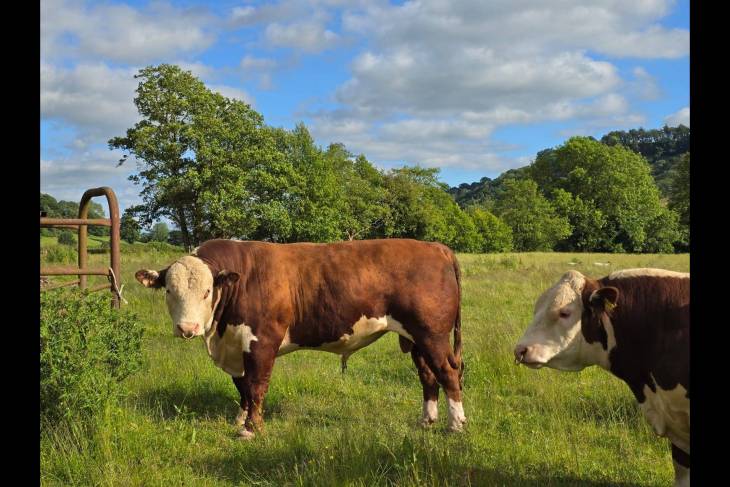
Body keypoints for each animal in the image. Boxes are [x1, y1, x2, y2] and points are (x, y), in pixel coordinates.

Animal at [135, 238, 466, 439]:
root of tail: (436, 247)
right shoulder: (236, 347)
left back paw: (456, 424)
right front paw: (240, 420)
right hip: (417, 338)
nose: (187, 327)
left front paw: (252, 429)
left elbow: (256, 387)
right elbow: (242, 388)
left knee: (448, 373)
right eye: (169, 290)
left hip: (432, 333)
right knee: (427, 375)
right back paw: (427, 420)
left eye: (206, 291)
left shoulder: (261, 343)